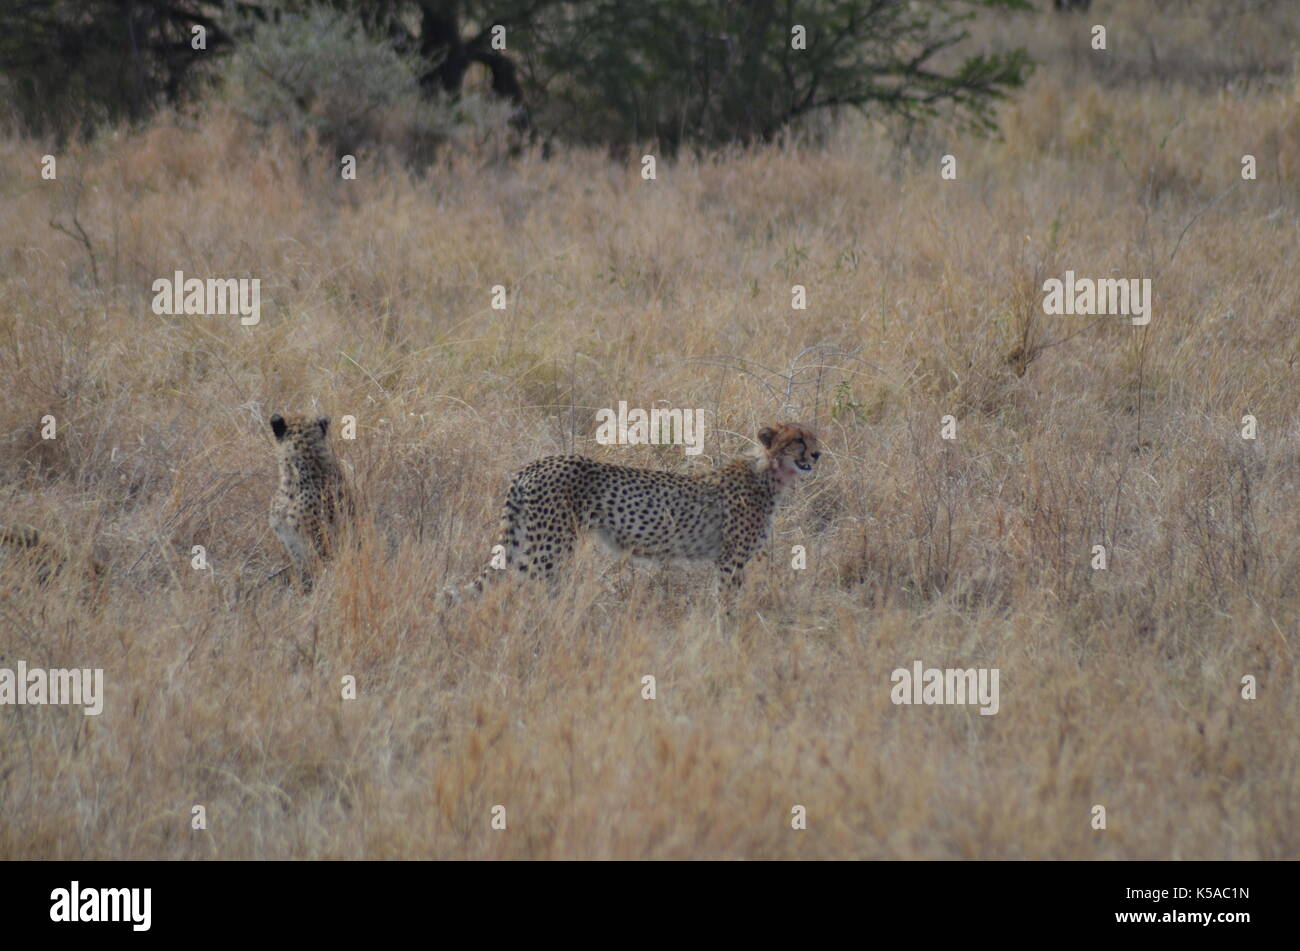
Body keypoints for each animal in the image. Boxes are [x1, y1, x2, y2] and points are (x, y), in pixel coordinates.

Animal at [458, 422, 819, 613]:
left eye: (814, 437)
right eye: (797, 440)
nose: (817, 454)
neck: (768, 473)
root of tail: (536, 463)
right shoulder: (731, 559)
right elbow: (726, 602)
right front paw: (727, 638)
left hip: (532, 543)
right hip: (549, 548)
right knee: (526, 589)